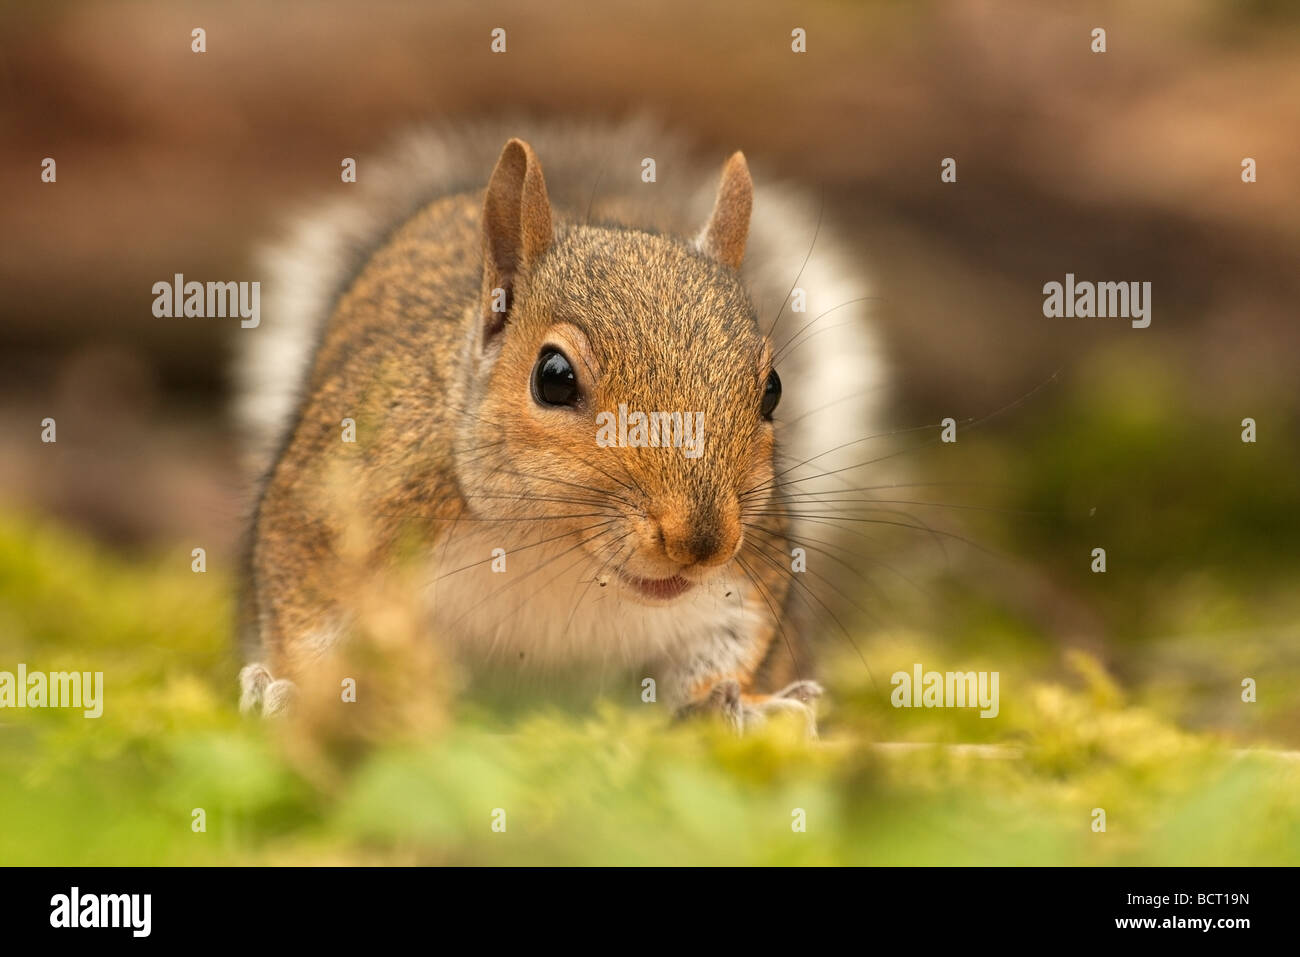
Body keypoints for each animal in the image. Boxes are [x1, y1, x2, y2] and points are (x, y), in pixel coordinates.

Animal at [234, 119, 883, 733]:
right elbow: (309, 616)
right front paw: (300, 697)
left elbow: (725, 648)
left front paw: (742, 706)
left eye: (772, 389)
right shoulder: (342, 506)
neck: (554, 547)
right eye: (554, 378)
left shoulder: (746, 579)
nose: (701, 542)